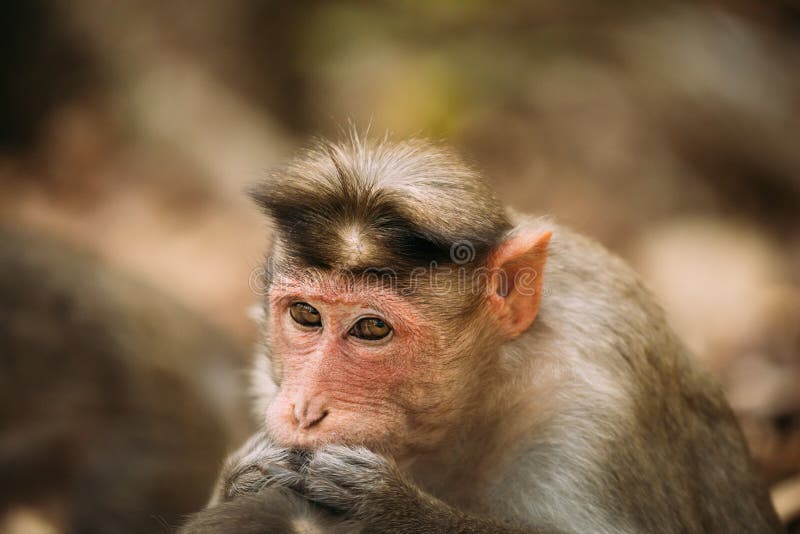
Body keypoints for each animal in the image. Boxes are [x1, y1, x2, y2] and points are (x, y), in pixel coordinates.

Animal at [181, 135, 784, 533]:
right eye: (307, 316)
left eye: (372, 327)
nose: (305, 409)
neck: (489, 388)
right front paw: (245, 478)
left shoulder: (596, 405)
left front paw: (393, 508)